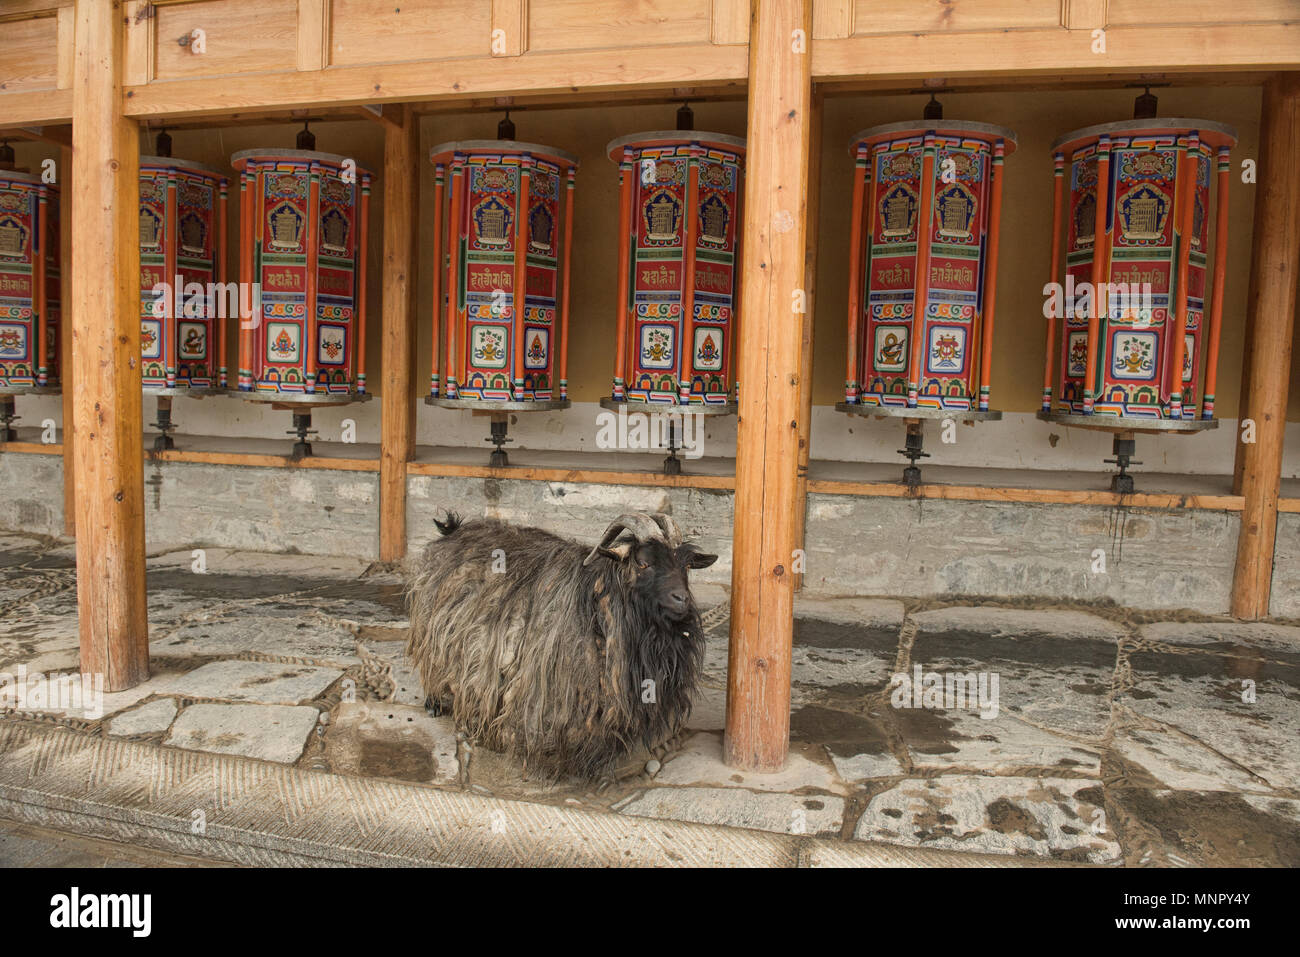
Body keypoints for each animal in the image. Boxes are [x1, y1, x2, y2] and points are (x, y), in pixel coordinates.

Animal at [405, 511, 717, 779]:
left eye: (686, 565)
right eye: (643, 562)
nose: (682, 600)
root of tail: (455, 529)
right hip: (436, 628)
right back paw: (434, 702)